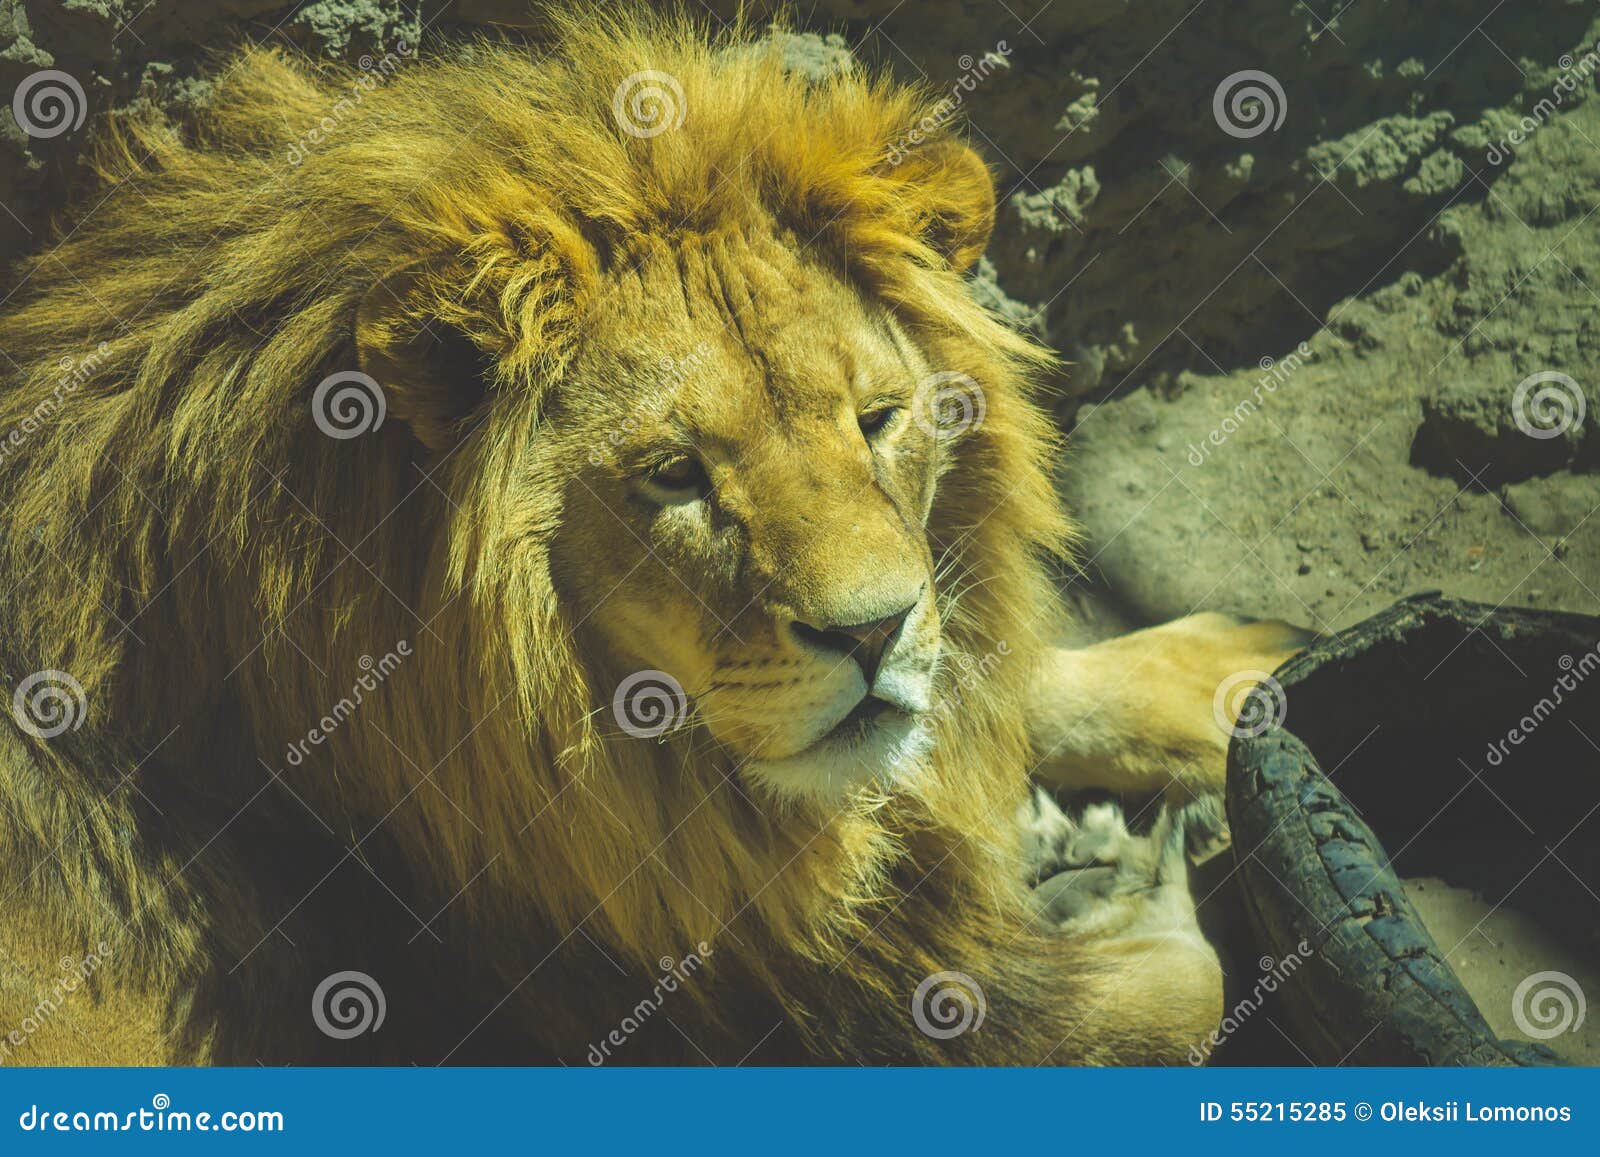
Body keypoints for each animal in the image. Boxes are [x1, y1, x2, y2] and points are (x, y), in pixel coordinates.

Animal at [0, 9, 1307, 1065]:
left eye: (878, 420)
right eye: (676, 476)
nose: (872, 631)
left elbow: (999, 679)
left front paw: (1227, 677)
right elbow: (1177, 991)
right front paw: (1129, 892)